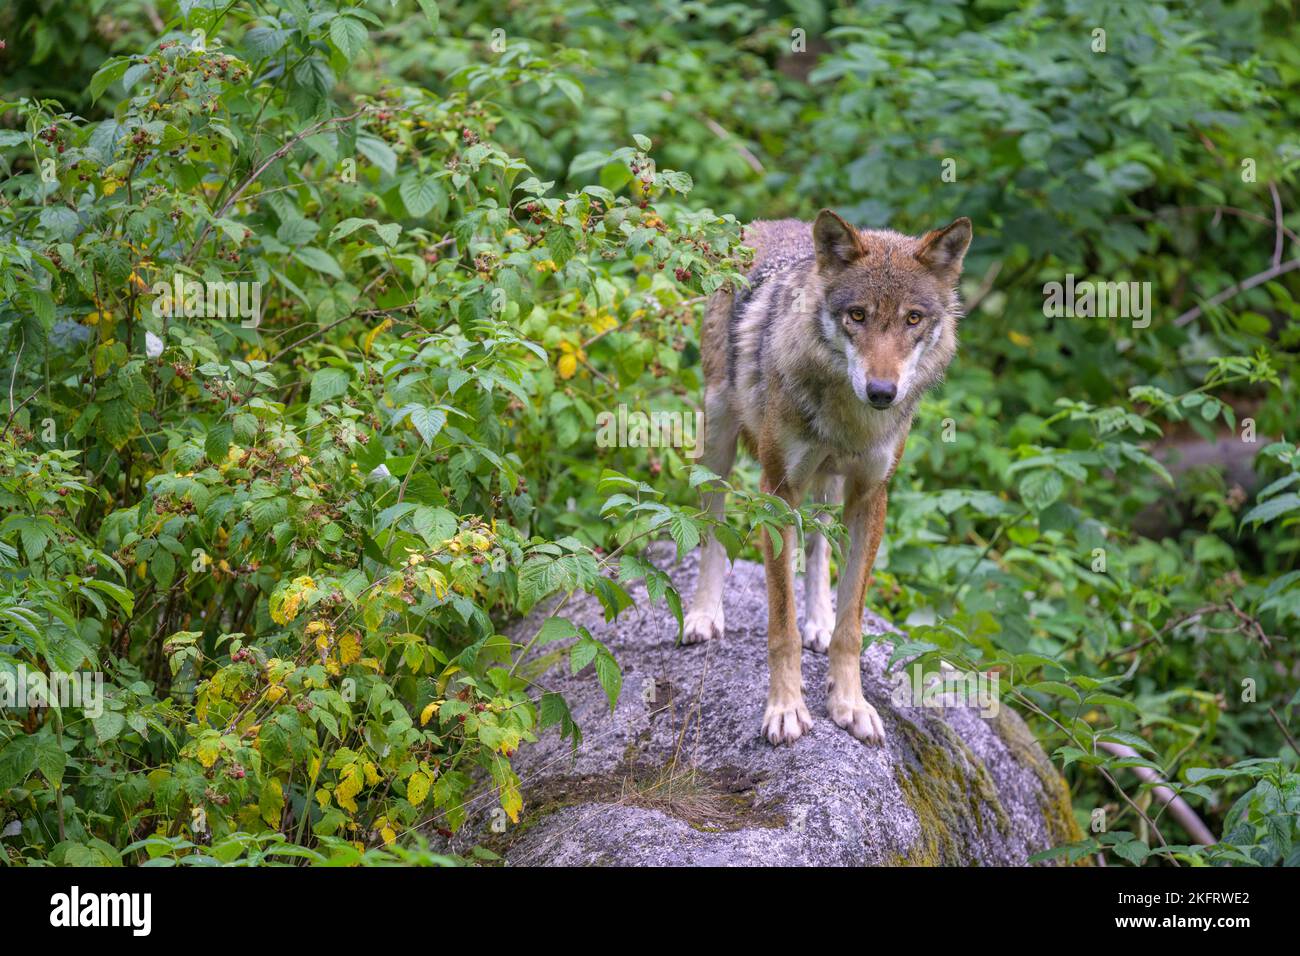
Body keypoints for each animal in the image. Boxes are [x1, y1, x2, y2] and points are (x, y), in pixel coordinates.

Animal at [684, 209, 971, 746]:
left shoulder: (871, 496)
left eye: (913, 319)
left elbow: (850, 625)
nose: (882, 391)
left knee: (817, 546)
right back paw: (703, 615)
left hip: (824, 484)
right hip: (719, 441)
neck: (849, 420)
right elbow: (781, 626)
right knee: (711, 526)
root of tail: (769, 222)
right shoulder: (776, 491)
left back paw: (817, 620)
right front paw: (785, 710)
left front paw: (849, 704)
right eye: (857, 315)